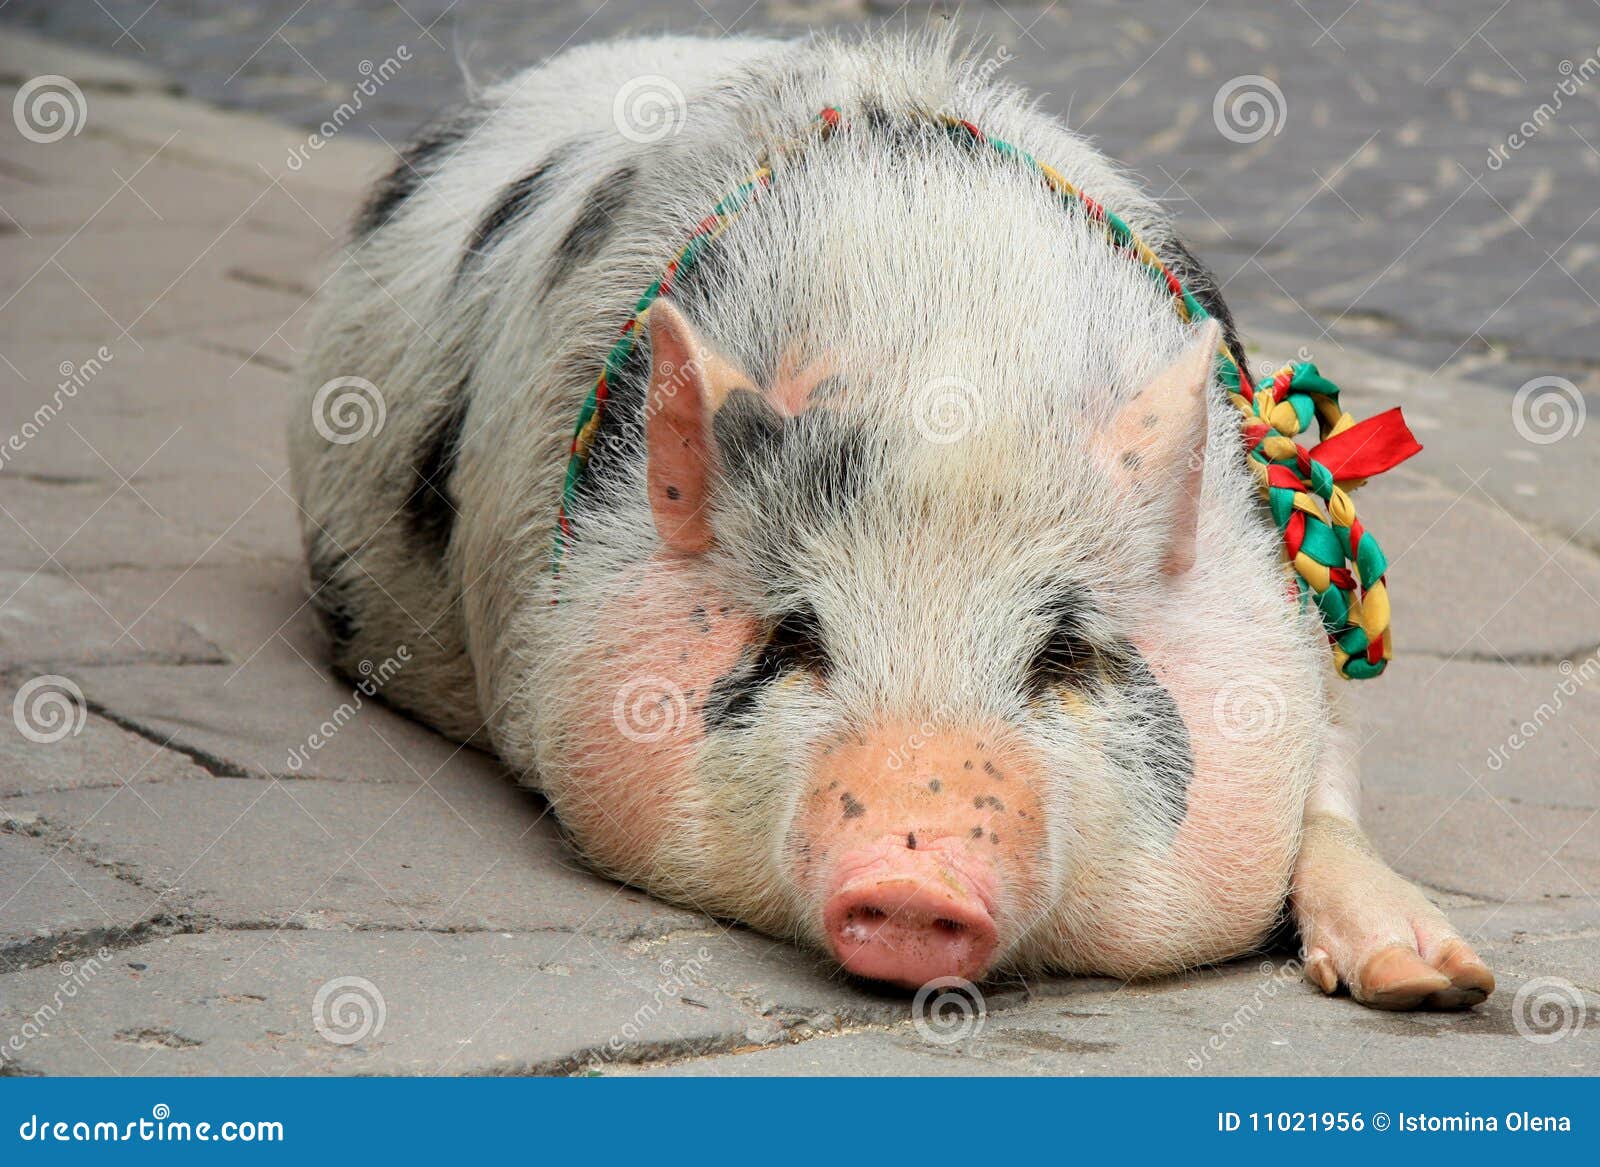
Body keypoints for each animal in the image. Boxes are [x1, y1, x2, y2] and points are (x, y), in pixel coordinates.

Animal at [288, 31, 1494, 1009]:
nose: (914, 878)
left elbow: (1329, 785)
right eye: (795, 639)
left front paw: (1433, 982)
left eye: (1064, 654)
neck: (949, 356)